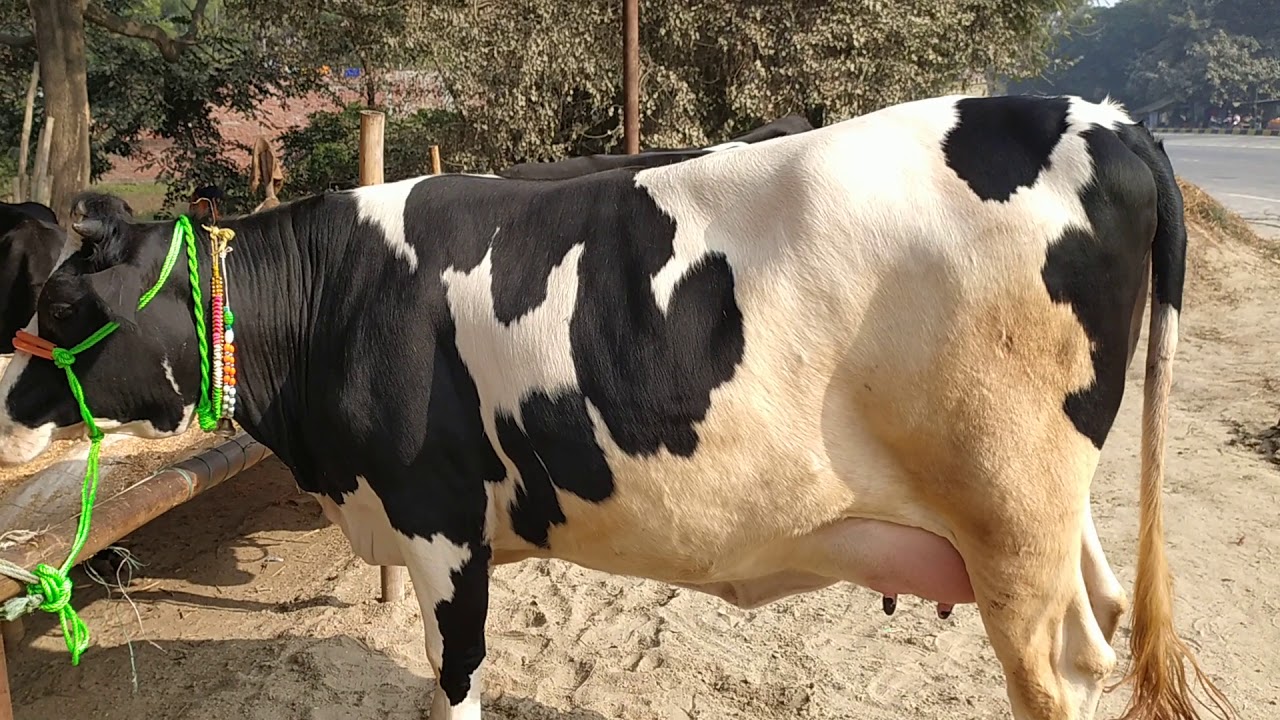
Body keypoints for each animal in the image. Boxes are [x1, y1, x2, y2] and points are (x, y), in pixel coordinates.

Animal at [0, 94, 1233, 720]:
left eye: (61, 300)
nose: (10, 409)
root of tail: (1103, 117)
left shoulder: (441, 521)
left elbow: (455, 679)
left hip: (1010, 516)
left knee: (1055, 671)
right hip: (1042, 512)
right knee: (1101, 625)